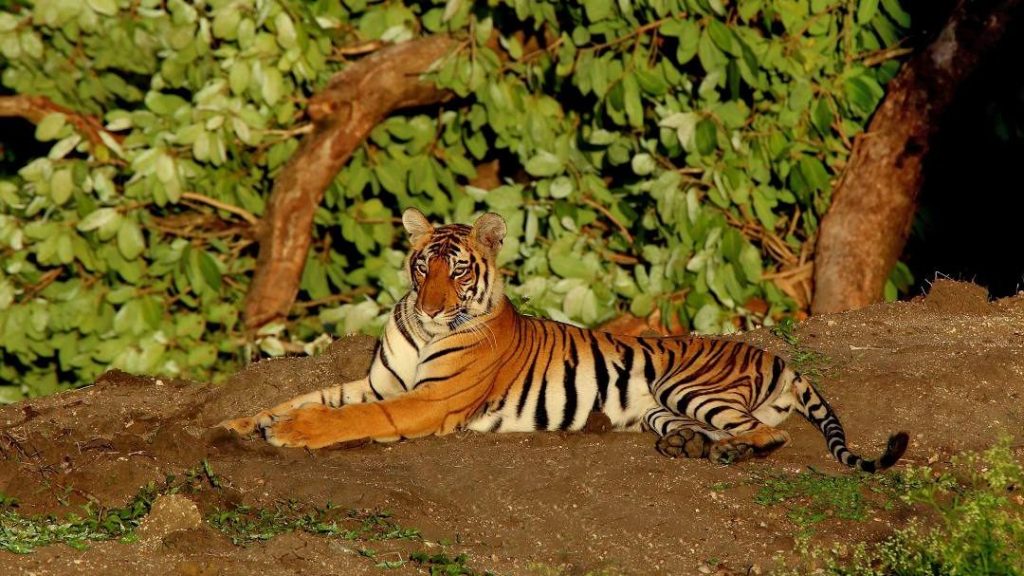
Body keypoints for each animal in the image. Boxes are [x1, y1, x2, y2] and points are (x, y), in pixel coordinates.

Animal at [221, 208, 909, 472]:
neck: (422, 330)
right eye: (422, 267)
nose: (433, 307)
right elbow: (308, 396)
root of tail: (772, 354)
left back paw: (728, 453)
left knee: (769, 434)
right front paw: (241, 423)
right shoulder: (376, 380)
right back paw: (687, 447)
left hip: (689, 384)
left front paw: (289, 433)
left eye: (459, 270)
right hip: (661, 407)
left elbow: (348, 418)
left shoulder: (426, 400)